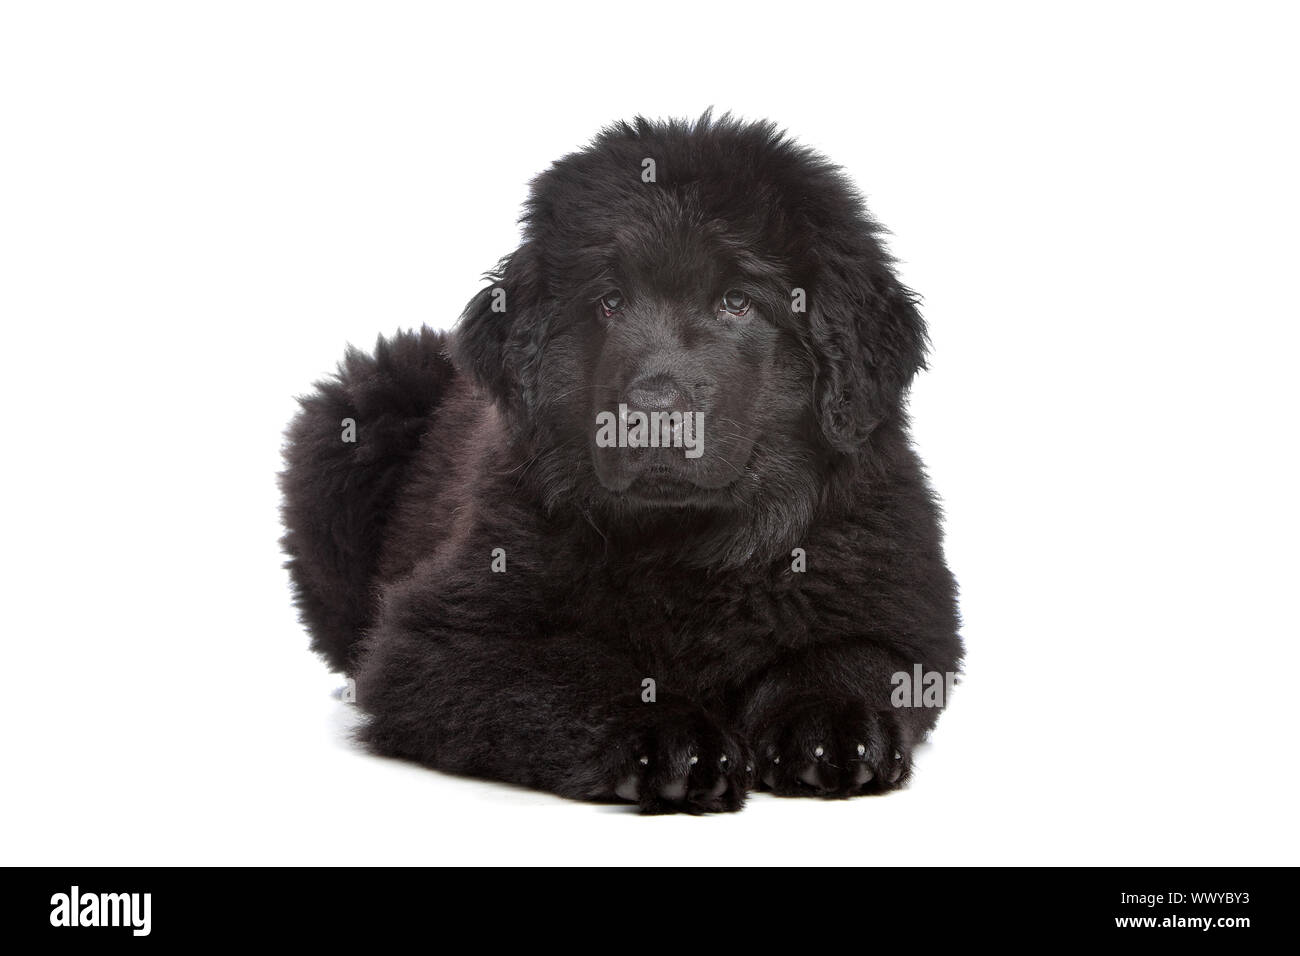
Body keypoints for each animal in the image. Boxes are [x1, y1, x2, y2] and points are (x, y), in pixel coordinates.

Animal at [284, 113, 967, 816]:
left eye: (738, 302)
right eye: (608, 302)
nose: (653, 413)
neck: (685, 542)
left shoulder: (906, 606)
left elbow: (854, 654)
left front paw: (831, 725)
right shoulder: (438, 636)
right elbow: (566, 670)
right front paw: (670, 736)